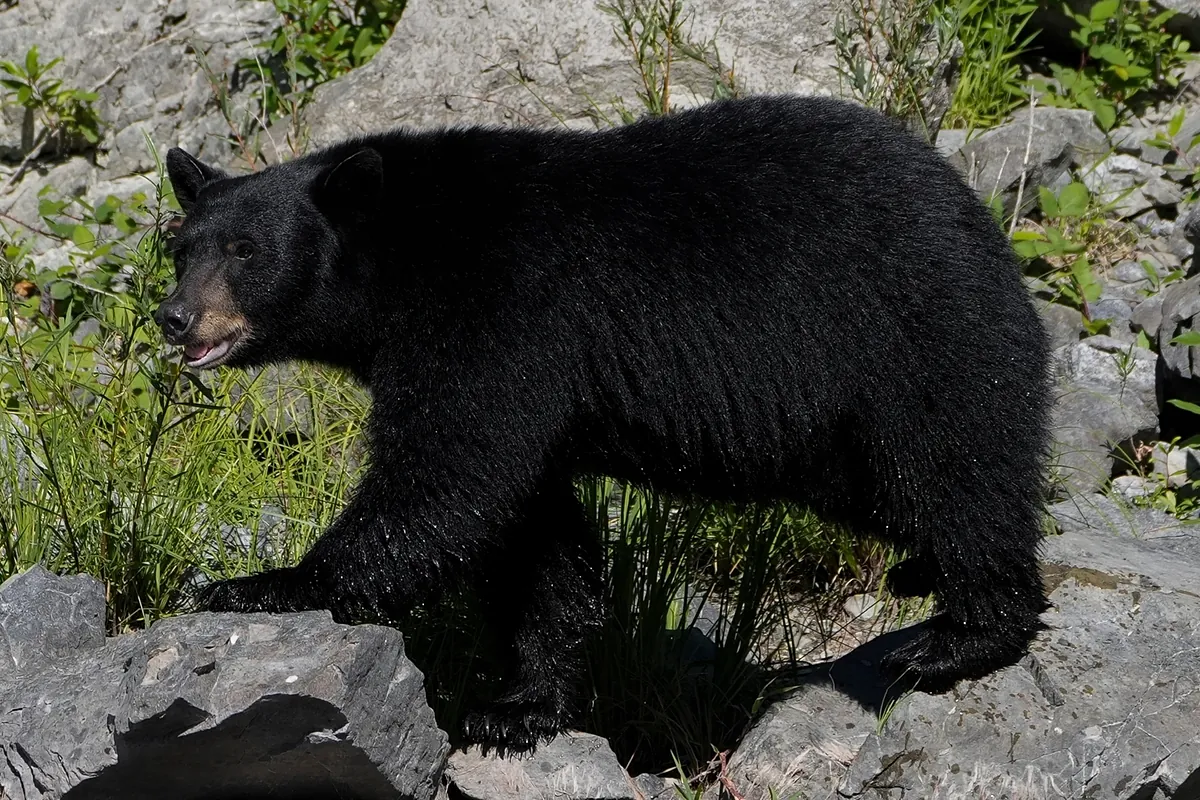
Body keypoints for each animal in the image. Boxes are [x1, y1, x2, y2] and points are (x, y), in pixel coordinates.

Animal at [156, 94, 1052, 756]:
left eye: (246, 250)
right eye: (182, 246)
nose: (174, 317)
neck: (402, 257)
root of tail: (979, 215)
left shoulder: (497, 313)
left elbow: (448, 479)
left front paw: (259, 584)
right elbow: (534, 535)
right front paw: (520, 706)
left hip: (908, 335)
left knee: (955, 469)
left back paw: (960, 636)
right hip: (837, 440)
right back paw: (920, 574)